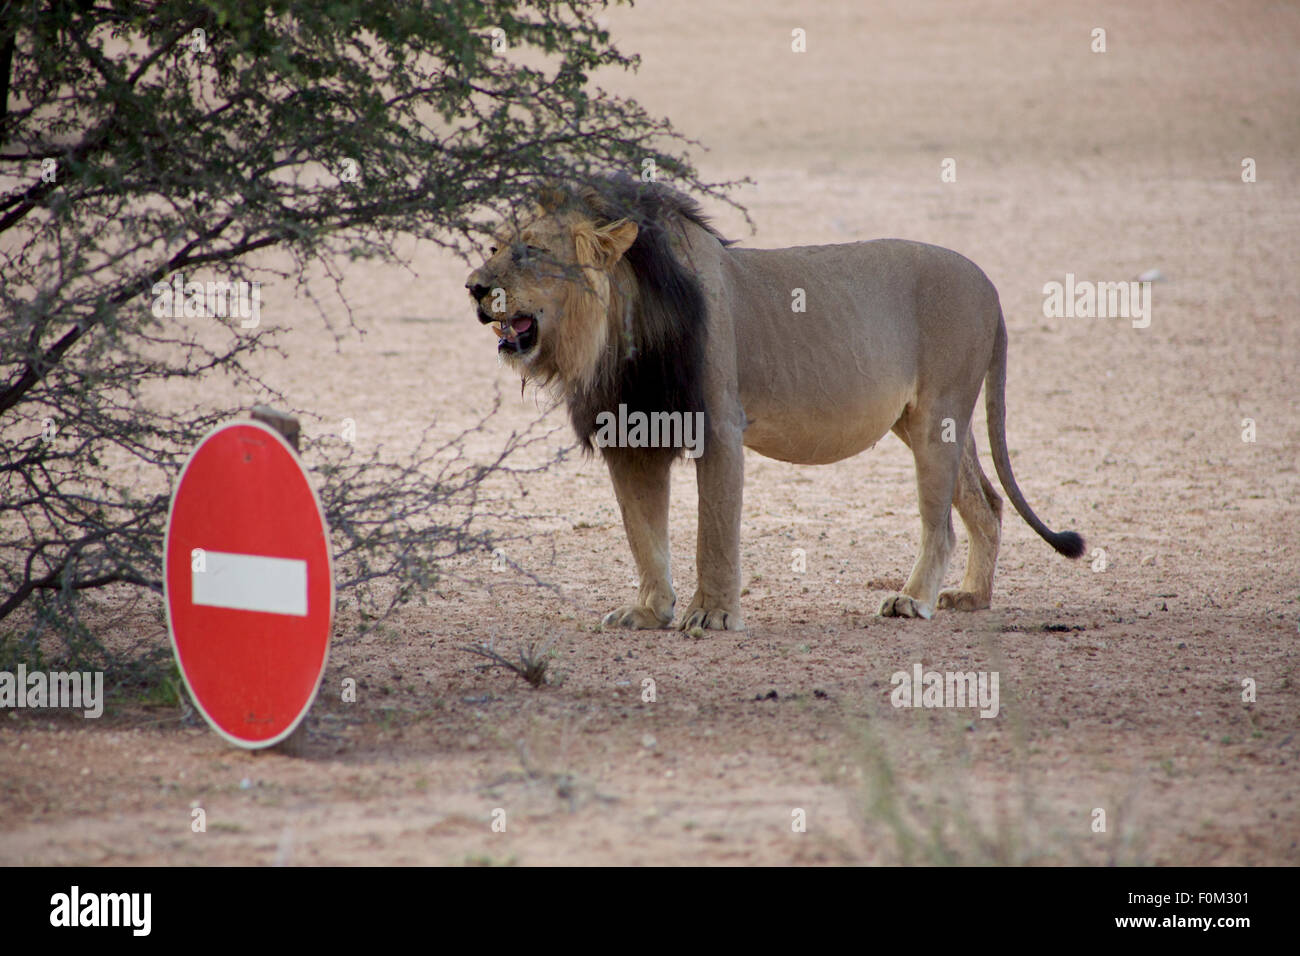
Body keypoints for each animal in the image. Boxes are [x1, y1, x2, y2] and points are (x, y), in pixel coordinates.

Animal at [465, 176, 1084, 630]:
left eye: (532, 251)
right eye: (494, 246)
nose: (473, 286)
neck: (613, 333)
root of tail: (990, 284)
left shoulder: (718, 425)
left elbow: (713, 531)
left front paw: (712, 615)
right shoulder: (629, 436)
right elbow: (643, 534)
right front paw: (648, 610)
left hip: (939, 415)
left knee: (943, 523)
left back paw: (912, 600)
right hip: (921, 422)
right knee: (988, 503)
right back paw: (972, 597)